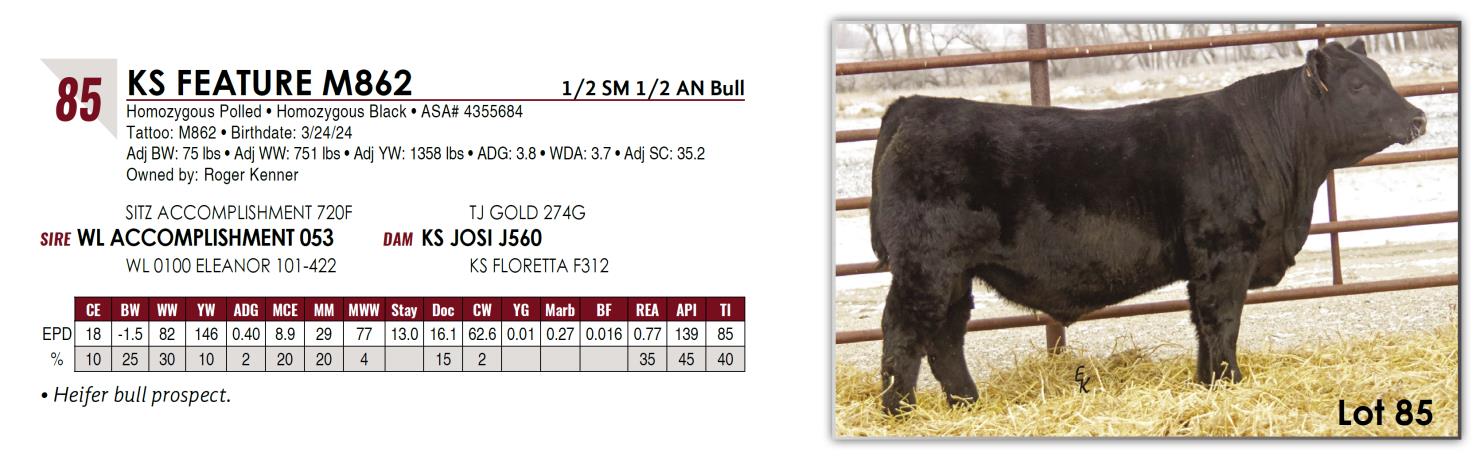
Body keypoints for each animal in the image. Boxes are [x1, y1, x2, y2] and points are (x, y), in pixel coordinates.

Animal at [868, 39, 1426, 414]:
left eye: (1383, 75)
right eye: (1359, 85)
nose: (1418, 118)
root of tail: (915, 106)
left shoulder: (1204, 264)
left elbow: (1202, 322)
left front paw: (1208, 384)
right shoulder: (1225, 251)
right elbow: (1223, 320)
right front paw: (1232, 382)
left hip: (954, 271)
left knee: (946, 334)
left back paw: (967, 402)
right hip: (925, 264)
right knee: (904, 330)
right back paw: (900, 410)